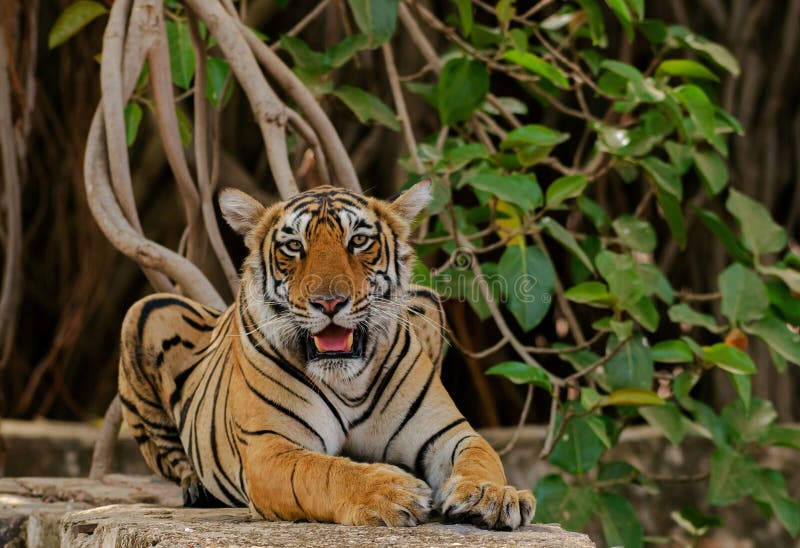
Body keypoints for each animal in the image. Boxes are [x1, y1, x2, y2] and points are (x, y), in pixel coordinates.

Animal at [118, 182, 536, 530]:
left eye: (359, 240)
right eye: (293, 246)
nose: (330, 302)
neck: (348, 381)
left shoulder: (444, 432)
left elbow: (481, 453)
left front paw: (494, 496)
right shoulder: (270, 448)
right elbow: (325, 472)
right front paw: (393, 493)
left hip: (426, 299)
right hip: (145, 310)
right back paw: (196, 488)